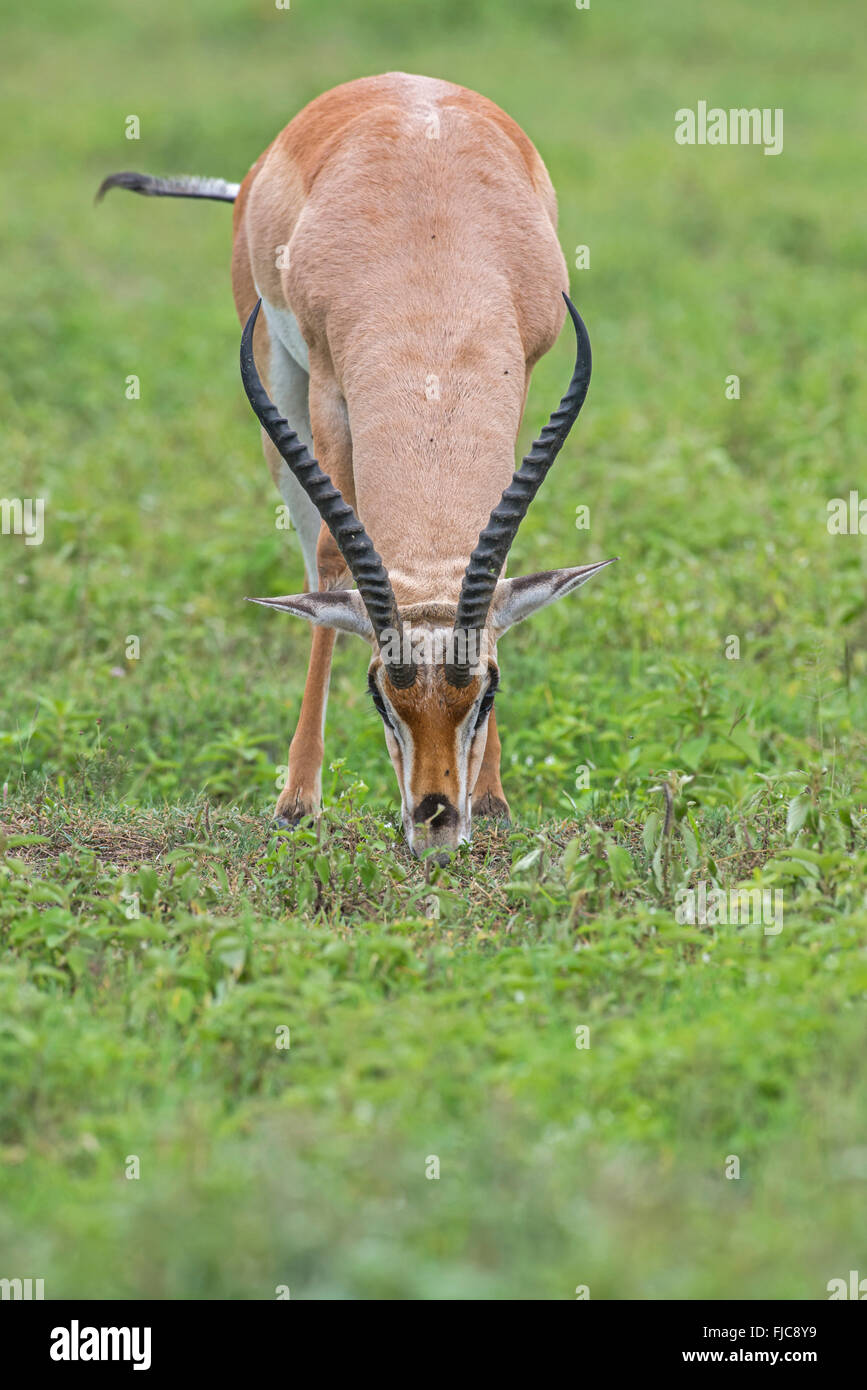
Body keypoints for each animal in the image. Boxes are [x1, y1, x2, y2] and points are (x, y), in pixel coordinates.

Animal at [99, 72, 616, 860]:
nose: (436, 822)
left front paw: (496, 799)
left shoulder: (524, 380)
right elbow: (328, 561)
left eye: (486, 688)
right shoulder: (327, 391)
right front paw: (296, 803)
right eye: (379, 691)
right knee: (315, 563)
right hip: (277, 381)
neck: (433, 269)